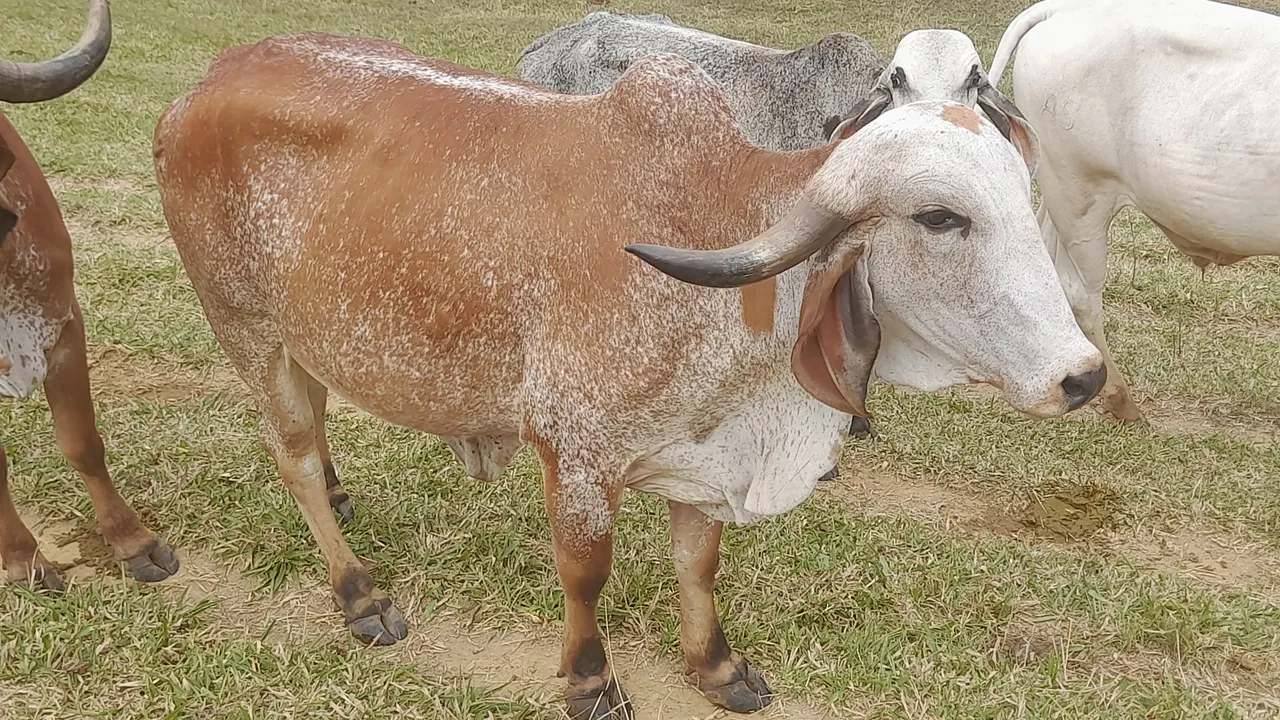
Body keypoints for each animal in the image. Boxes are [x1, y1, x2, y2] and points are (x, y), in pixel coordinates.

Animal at [153, 33, 1104, 719]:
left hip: (303, 337)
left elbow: (698, 564)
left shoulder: (709, 457)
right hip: (248, 330)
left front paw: (715, 667)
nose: (1084, 376)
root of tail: (205, 82)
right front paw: (589, 680)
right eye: (940, 218)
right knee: (293, 454)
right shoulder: (576, 455)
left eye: (1023, 198)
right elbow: (587, 574)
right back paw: (358, 594)